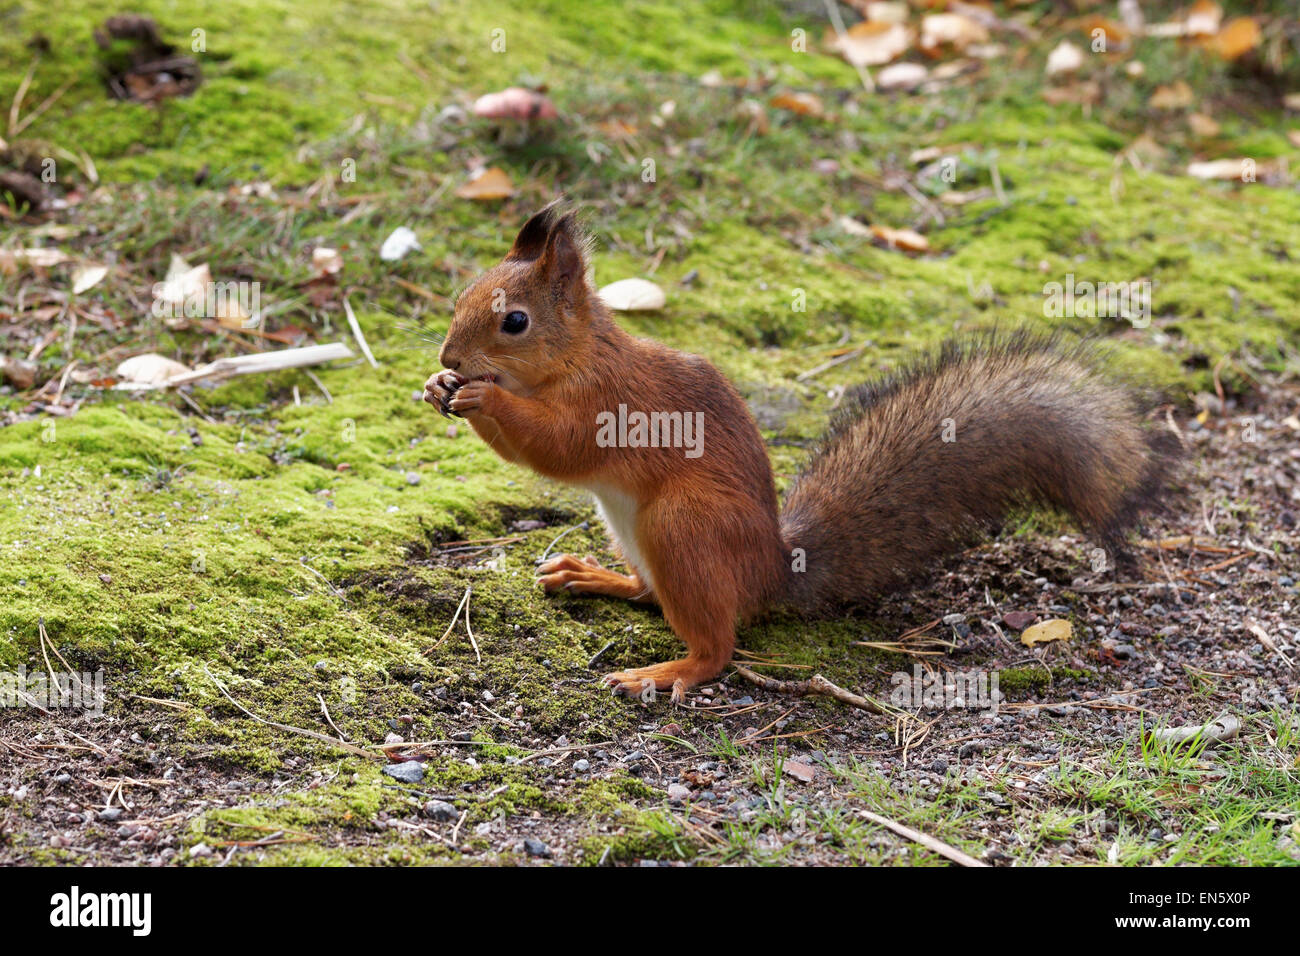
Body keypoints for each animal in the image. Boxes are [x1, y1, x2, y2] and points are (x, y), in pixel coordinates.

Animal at [423, 202, 1175, 702]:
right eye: (460, 295)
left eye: (515, 321)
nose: (449, 358)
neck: (578, 354)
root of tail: (771, 570)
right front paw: (439, 388)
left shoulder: (606, 406)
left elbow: (557, 448)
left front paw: (483, 397)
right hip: (635, 530)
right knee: (647, 591)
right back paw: (592, 575)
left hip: (684, 525)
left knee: (716, 644)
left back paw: (667, 671)